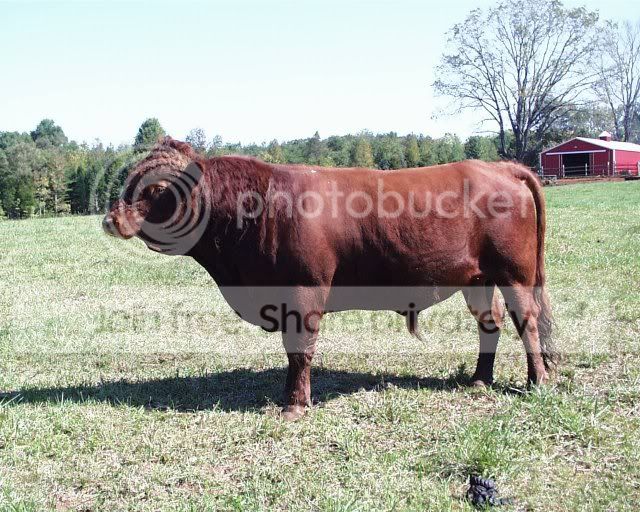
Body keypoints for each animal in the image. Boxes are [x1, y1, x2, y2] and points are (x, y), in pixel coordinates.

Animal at [103, 137, 556, 420]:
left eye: (156, 188)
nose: (110, 219)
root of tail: (500, 167)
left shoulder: (303, 292)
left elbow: (300, 351)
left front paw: (294, 405)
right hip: (477, 278)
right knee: (491, 323)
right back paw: (479, 380)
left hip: (515, 274)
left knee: (527, 322)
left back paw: (538, 381)